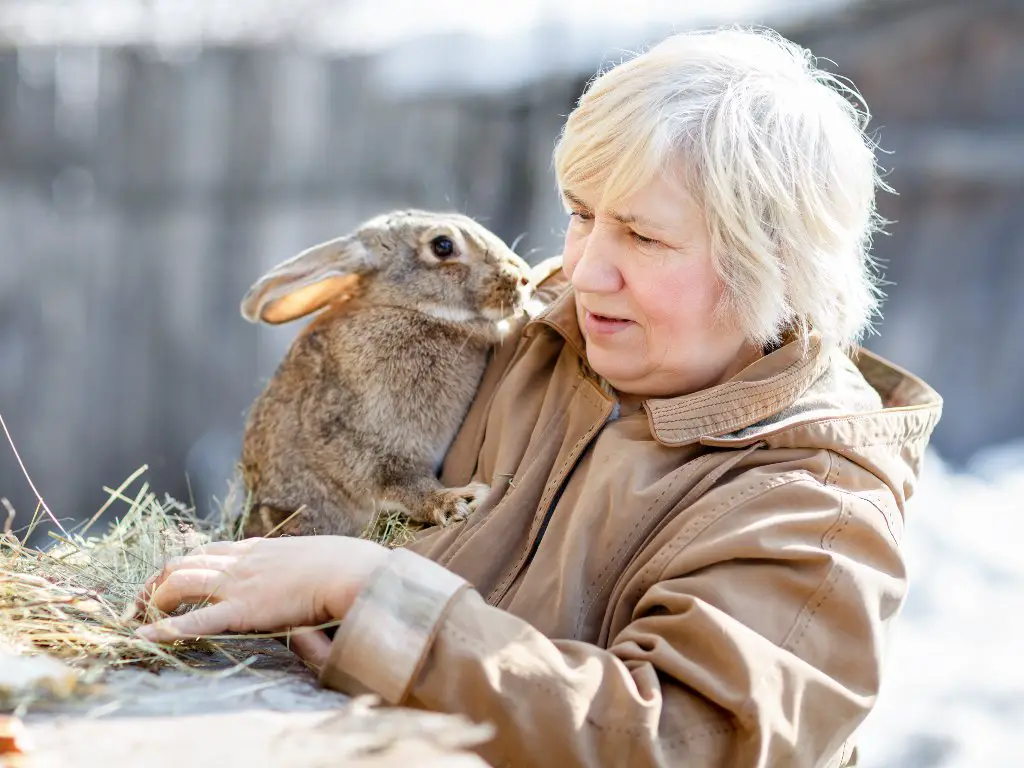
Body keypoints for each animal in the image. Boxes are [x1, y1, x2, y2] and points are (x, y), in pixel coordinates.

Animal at [236, 209, 534, 539]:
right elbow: (403, 484)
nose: (525, 278)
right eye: (443, 246)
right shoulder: (369, 448)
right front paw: (458, 501)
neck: (408, 308)